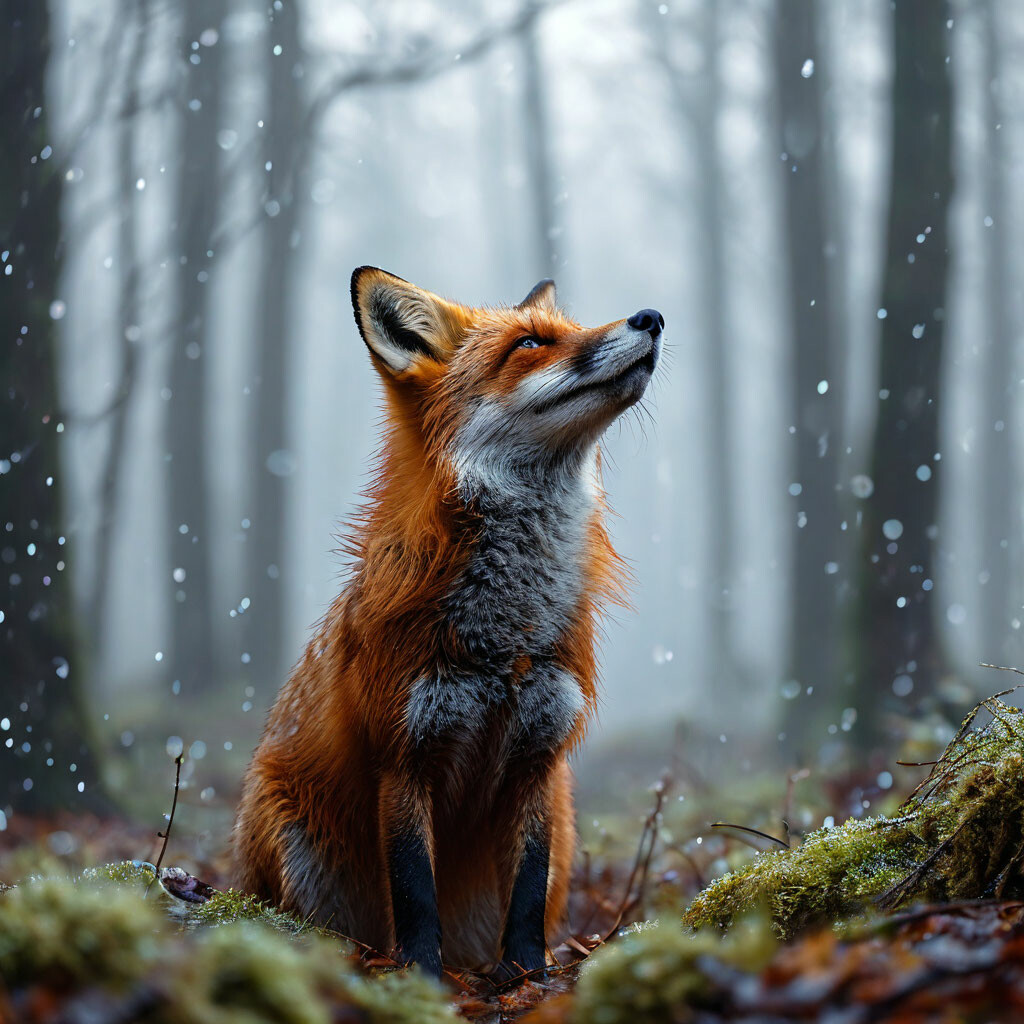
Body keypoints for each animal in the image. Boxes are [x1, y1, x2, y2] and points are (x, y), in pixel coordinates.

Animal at [233, 267, 663, 978]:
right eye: (529, 343)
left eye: (570, 329)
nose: (652, 317)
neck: (507, 644)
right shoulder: (403, 756)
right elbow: (413, 891)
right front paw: (421, 977)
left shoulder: (538, 758)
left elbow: (527, 894)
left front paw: (527, 977)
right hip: (287, 835)